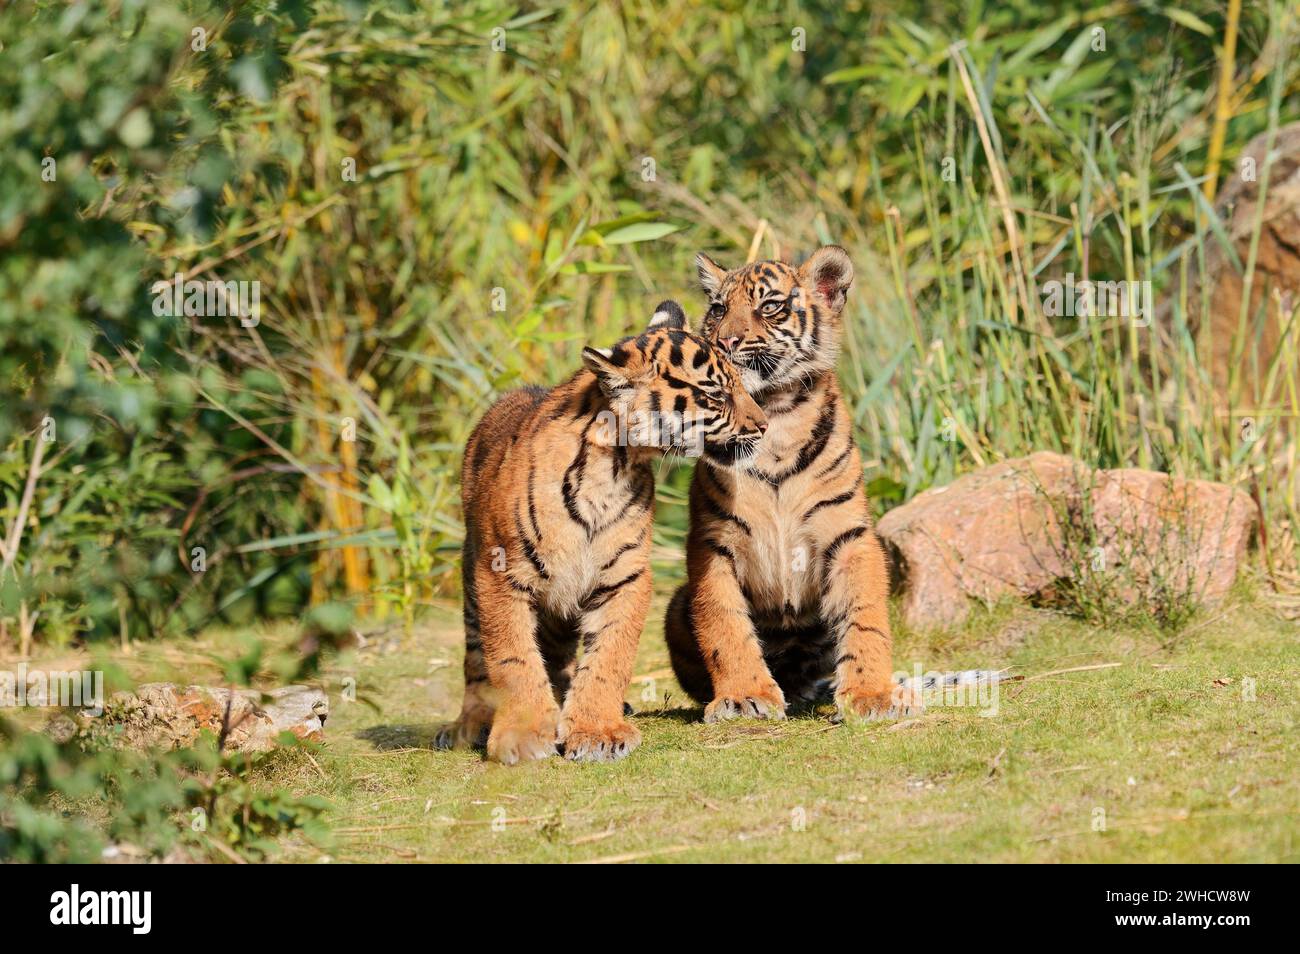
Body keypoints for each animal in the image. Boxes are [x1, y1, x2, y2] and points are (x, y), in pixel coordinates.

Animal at [440, 300, 768, 764]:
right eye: (716, 396)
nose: (764, 426)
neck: (612, 466)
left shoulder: (624, 574)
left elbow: (608, 656)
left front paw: (597, 731)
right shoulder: (501, 575)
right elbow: (513, 658)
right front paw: (524, 736)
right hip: (473, 577)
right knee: (475, 658)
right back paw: (468, 725)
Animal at [663, 246, 921, 722]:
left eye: (769, 306)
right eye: (718, 309)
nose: (725, 342)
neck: (775, 414)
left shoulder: (848, 533)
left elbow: (864, 617)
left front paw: (872, 694)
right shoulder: (712, 543)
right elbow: (723, 622)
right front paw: (744, 696)